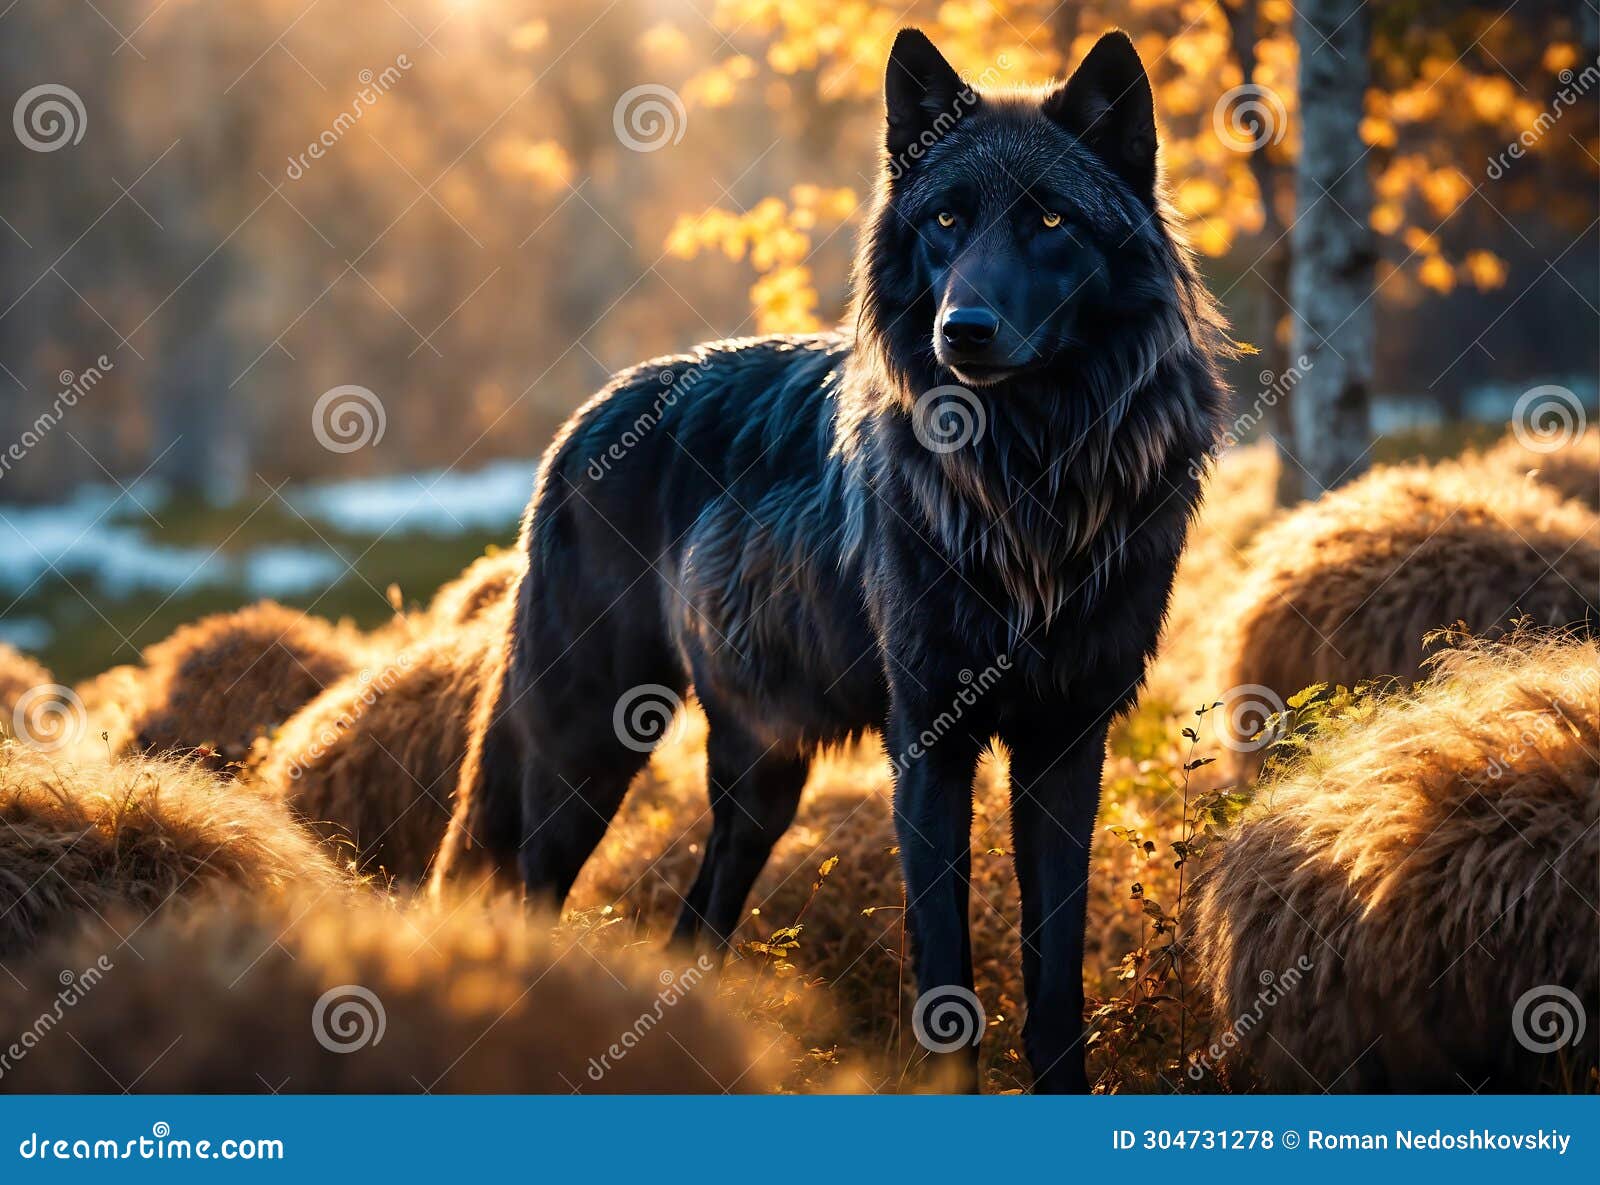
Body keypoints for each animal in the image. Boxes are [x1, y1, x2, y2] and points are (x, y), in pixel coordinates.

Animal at [433, 27, 1231, 1093]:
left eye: (1051, 219)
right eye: (946, 219)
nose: (961, 331)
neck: (1026, 474)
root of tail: (589, 415)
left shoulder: (1066, 742)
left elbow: (1054, 982)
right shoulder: (927, 745)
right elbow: (948, 983)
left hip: (761, 781)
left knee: (694, 927)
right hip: (587, 747)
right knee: (530, 889)